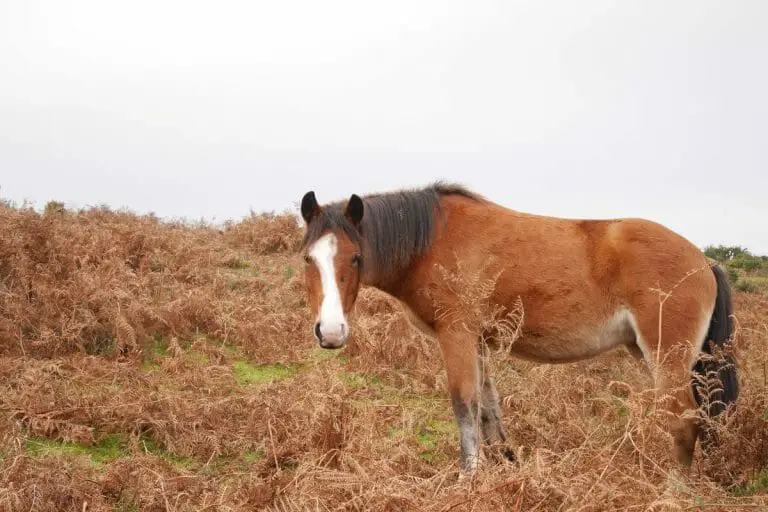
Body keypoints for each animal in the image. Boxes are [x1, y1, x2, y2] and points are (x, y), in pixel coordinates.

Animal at [297, 182, 739, 475]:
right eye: (307, 258)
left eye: (355, 258)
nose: (331, 331)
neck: (431, 242)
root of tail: (704, 261)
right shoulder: (477, 343)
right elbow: (487, 408)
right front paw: (504, 464)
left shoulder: (456, 336)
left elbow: (464, 405)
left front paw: (469, 478)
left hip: (667, 357)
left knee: (684, 420)